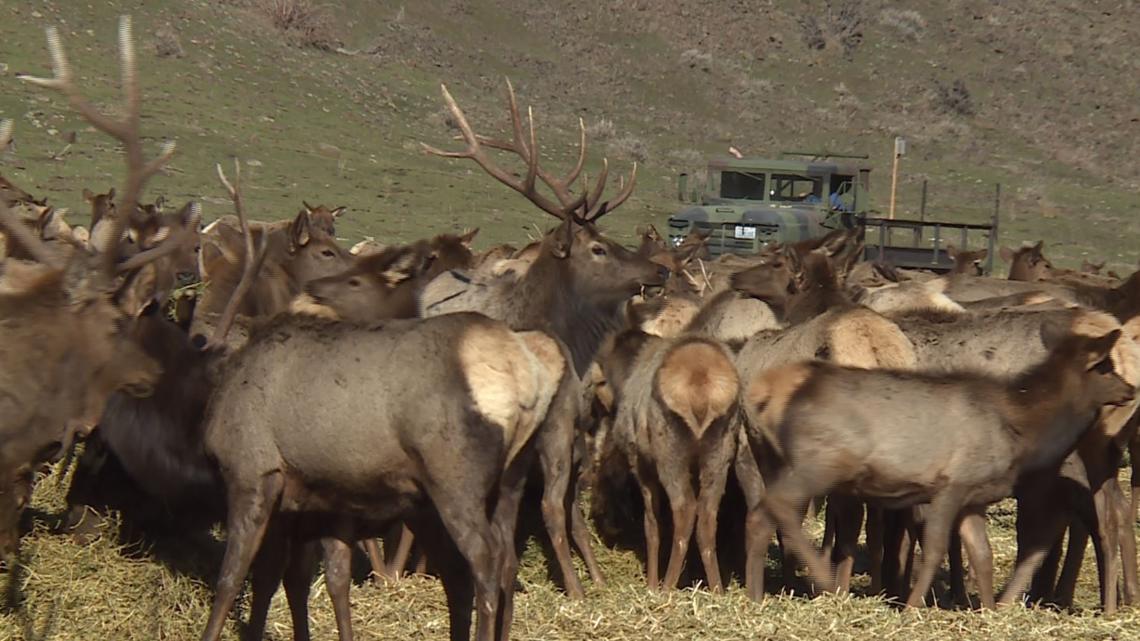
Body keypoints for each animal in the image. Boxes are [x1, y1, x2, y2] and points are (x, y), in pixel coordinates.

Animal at [745, 328, 1135, 608]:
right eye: (1105, 366)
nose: (1130, 389)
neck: (1022, 431)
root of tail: (770, 396)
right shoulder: (951, 485)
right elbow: (933, 549)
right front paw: (912, 606)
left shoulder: (974, 498)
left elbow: (982, 555)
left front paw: (988, 611)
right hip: (819, 462)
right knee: (778, 508)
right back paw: (822, 583)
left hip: (786, 462)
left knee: (761, 514)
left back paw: (755, 594)